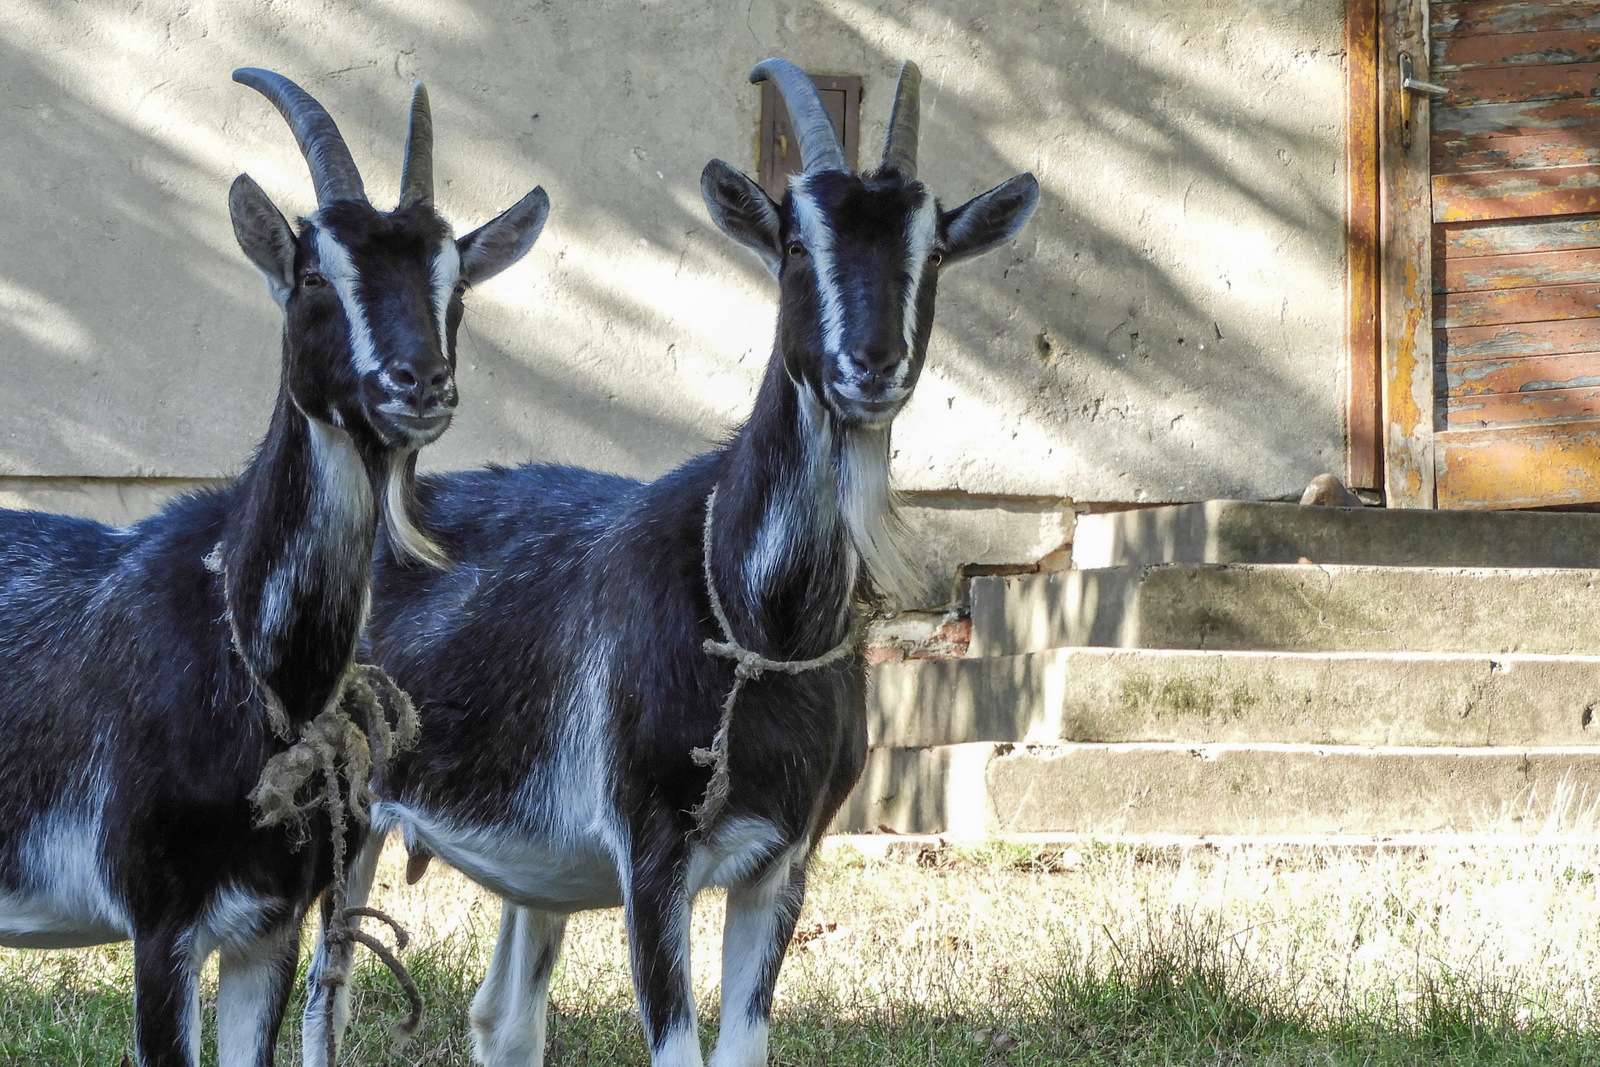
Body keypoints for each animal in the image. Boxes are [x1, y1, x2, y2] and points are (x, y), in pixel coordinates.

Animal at [0, 69, 548, 1067]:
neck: (248, 661)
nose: (419, 384)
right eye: (315, 272)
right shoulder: (163, 925)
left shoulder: (270, 927)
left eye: (454, 282)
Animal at [319, 56, 1038, 1067]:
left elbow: (740, 1047)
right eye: (794, 245)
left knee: (504, 1016)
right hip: (342, 813)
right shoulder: (651, 853)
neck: (757, 617)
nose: (871, 365)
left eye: (931, 251)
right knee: (326, 1001)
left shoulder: (784, 860)